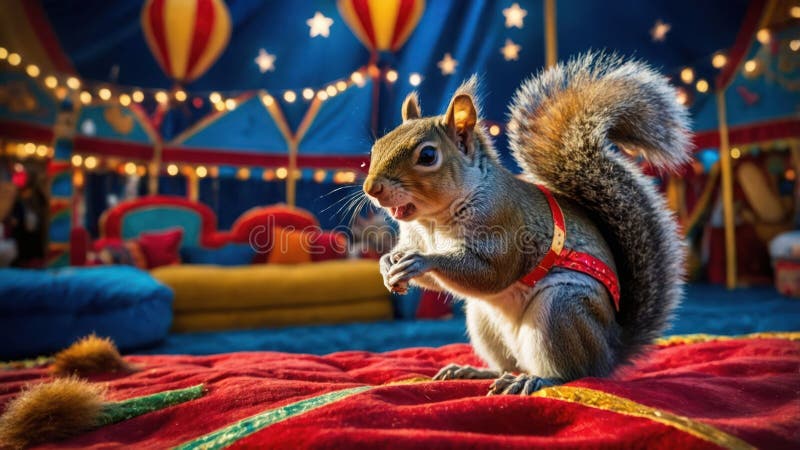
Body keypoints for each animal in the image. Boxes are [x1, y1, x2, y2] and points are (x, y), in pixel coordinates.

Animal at [362, 53, 691, 395]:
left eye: (427, 155)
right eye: (377, 145)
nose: (371, 188)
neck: (432, 222)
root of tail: (611, 349)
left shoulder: (504, 226)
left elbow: (489, 274)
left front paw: (421, 261)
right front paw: (388, 264)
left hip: (561, 311)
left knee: (576, 372)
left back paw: (537, 379)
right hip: (484, 321)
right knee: (508, 364)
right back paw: (475, 372)